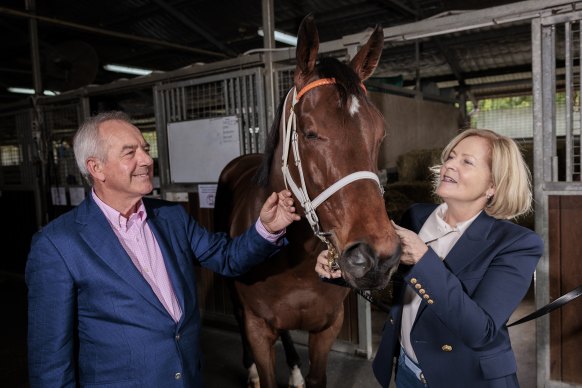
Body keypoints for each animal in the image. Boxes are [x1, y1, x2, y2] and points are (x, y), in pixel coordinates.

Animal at [214, 14, 402, 388]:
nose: (377, 257)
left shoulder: (326, 328)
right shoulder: (258, 328)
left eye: (380, 134)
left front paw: (301, 373)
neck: (294, 264)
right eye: (310, 132)